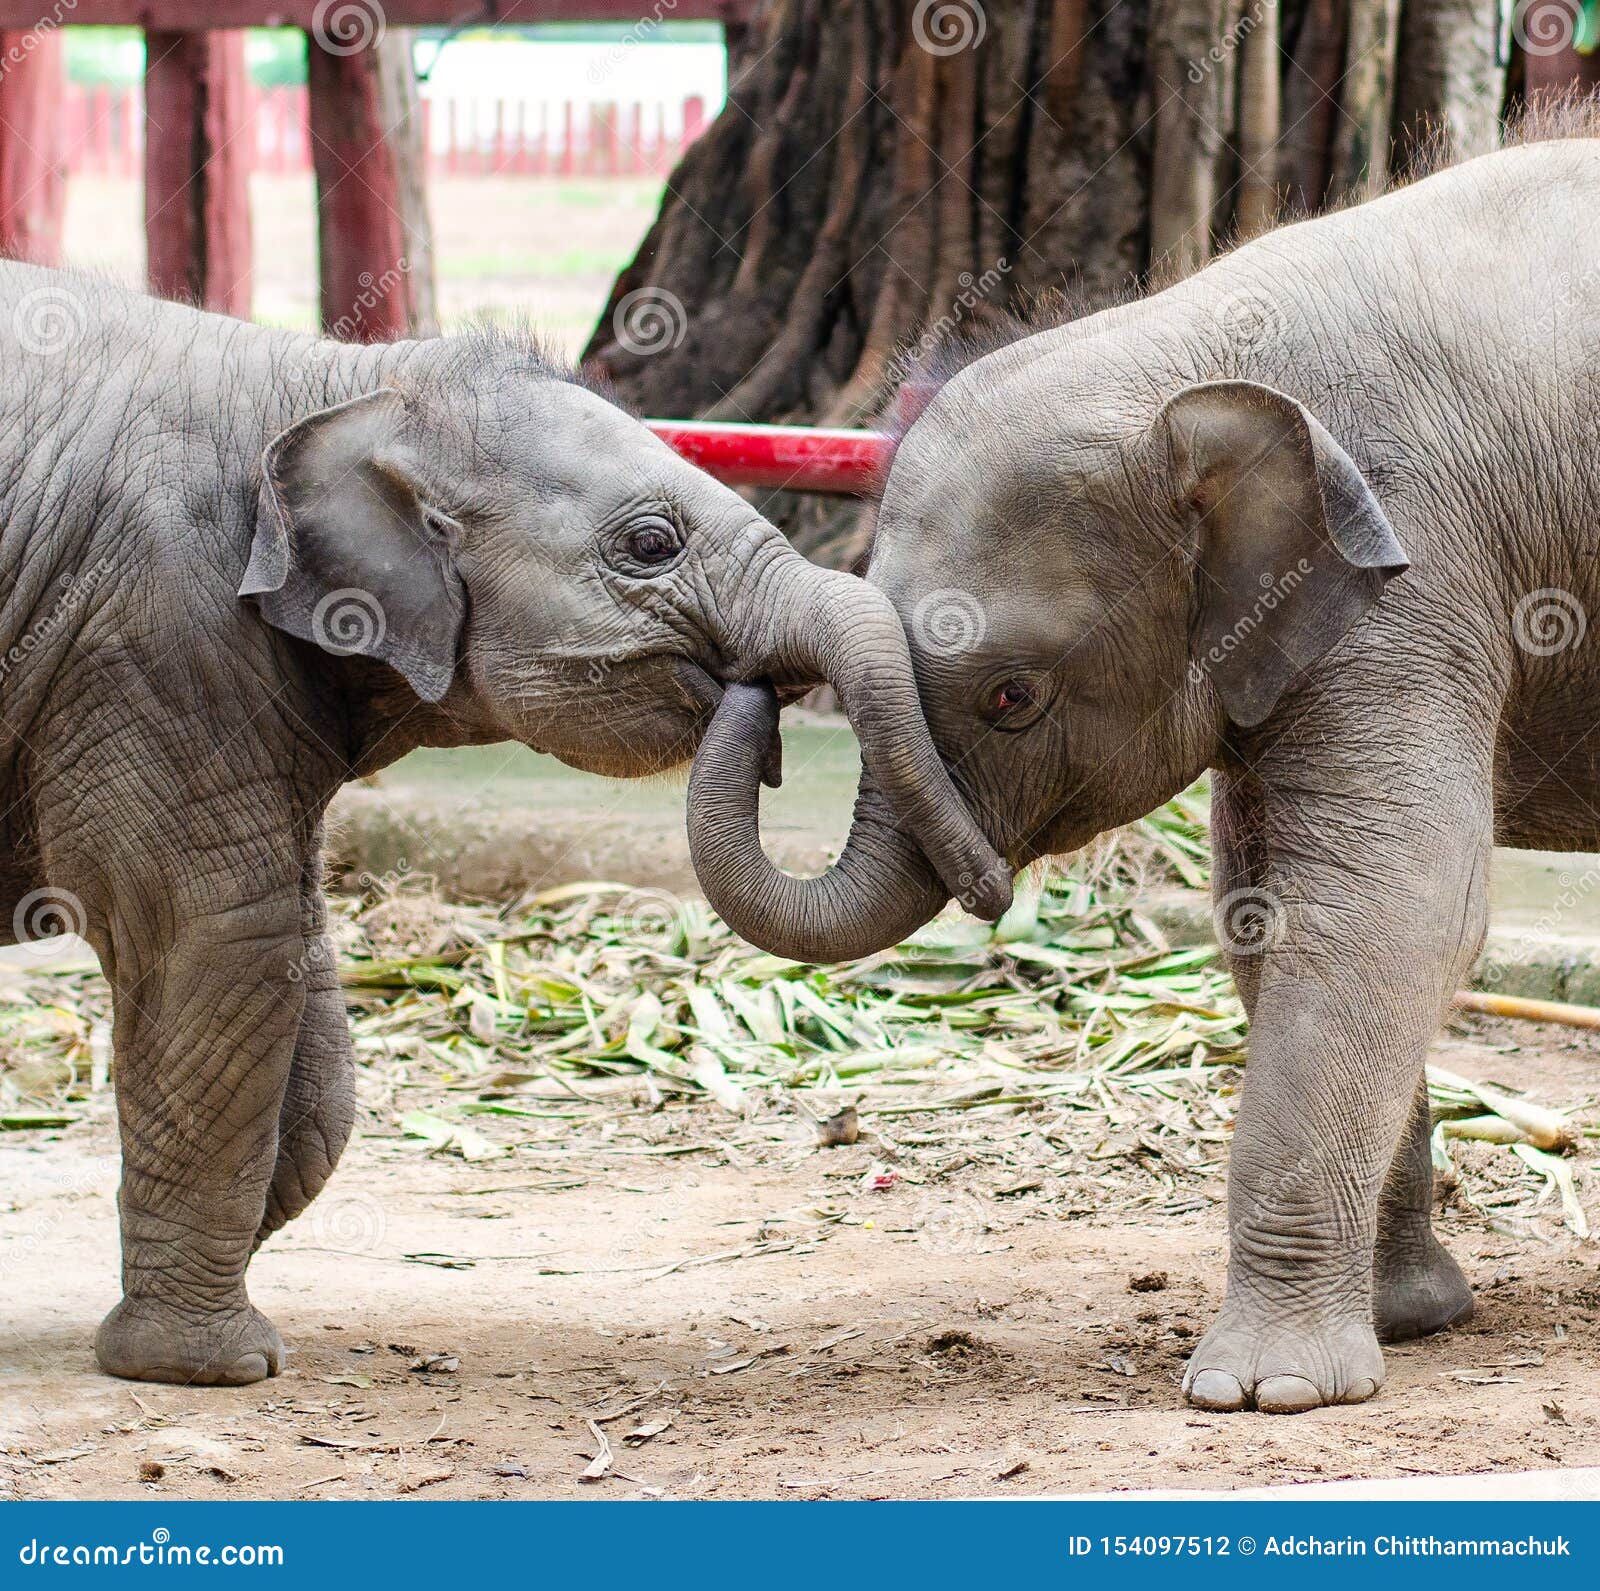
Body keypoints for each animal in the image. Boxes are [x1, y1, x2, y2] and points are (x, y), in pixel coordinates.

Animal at [0, 262, 1004, 1386]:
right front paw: (207, 1368)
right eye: (650, 545)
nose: (992, 895)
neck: (344, 381)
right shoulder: (155, 639)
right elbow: (213, 935)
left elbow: (297, 978)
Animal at [687, 124, 1600, 1414]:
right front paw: (1407, 1322)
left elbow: (1398, 910)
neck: (1190, 346)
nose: (749, 686)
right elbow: (1262, 906)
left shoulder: (1423, 580)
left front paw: (1262, 1394)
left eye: (1010, 698)